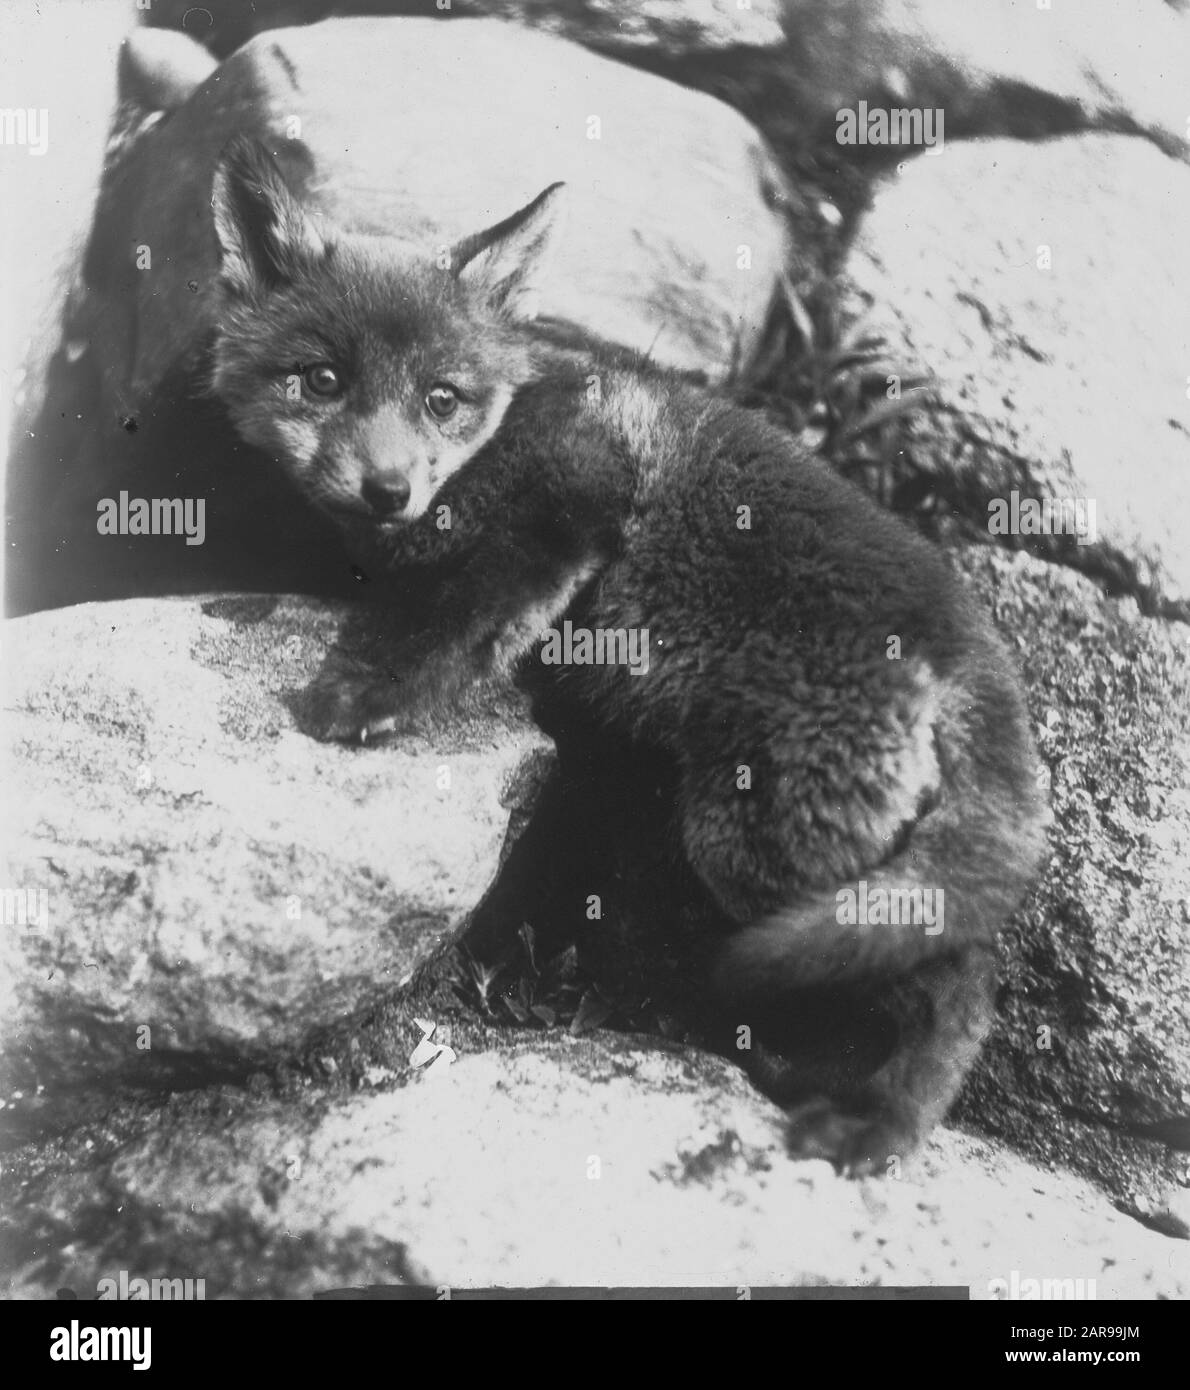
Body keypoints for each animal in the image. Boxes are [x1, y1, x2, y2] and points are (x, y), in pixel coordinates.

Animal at [208, 138, 1050, 1175]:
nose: (388, 489)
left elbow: (454, 626)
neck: (508, 419)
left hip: (750, 844)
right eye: (321, 381)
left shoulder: (563, 515)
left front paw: (364, 694)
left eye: (441, 400)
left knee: (958, 986)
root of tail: (966, 635)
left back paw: (877, 1119)